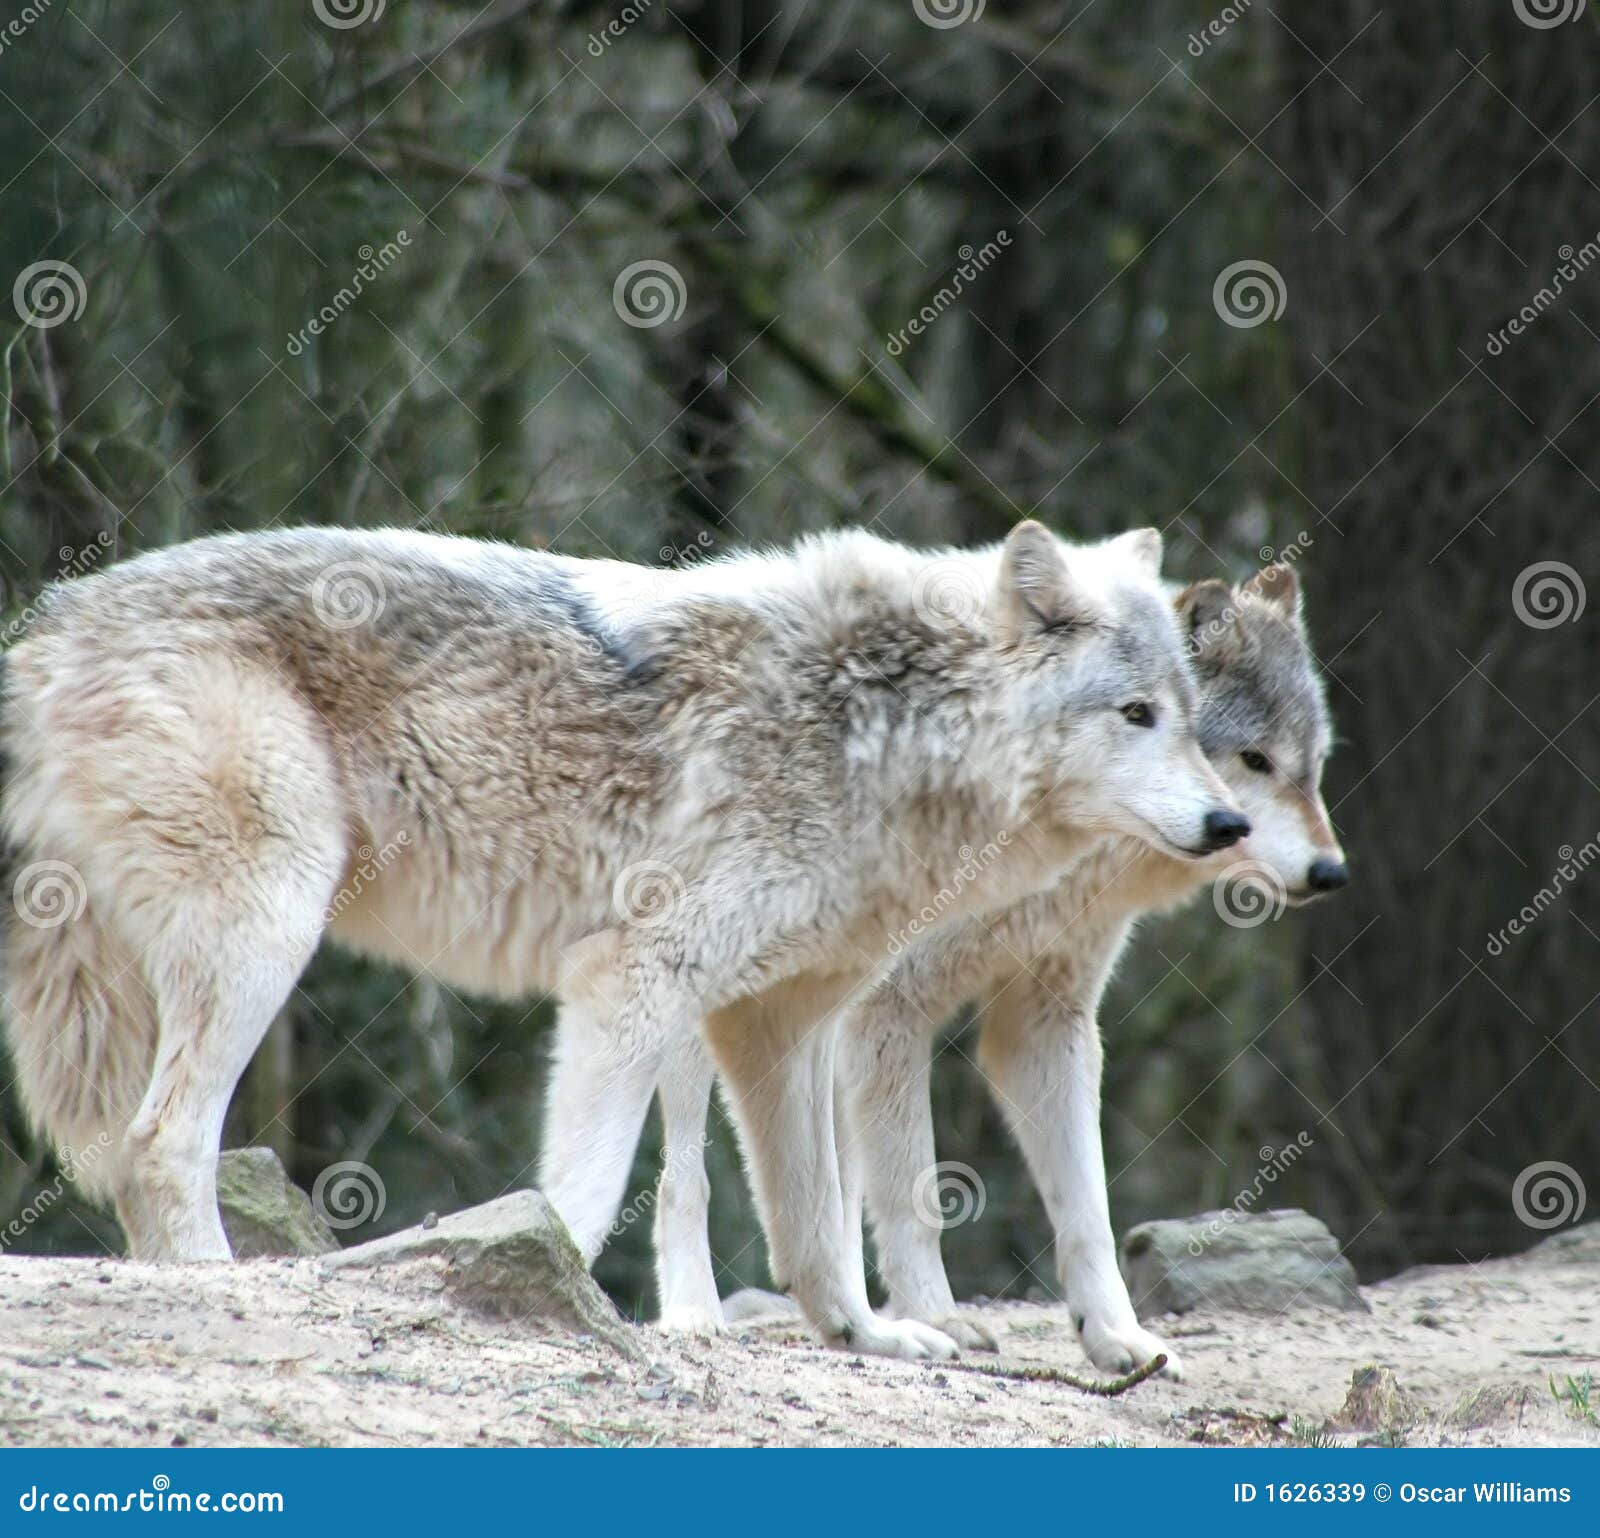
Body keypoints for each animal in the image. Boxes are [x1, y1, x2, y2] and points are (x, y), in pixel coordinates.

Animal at [0, 519, 1245, 1360]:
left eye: (1193, 721)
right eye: (1134, 714)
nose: (1229, 823)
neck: (882, 729)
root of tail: (51, 618)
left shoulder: (779, 1023)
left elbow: (815, 1219)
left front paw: (867, 1333)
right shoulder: (629, 981)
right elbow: (587, 1194)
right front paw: (559, 1296)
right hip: (267, 932)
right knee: (161, 1140)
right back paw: (220, 1285)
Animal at [587, 563, 1344, 1376]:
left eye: (1314, 767)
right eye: (1255, 759)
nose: (1332, 872)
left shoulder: (1042, 1025)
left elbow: (1088, 1211)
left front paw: (1116, 1337)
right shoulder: (884, 1014)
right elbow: (911, 1194)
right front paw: (936, 1318)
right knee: (682, 1179)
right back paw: (696, 1315)